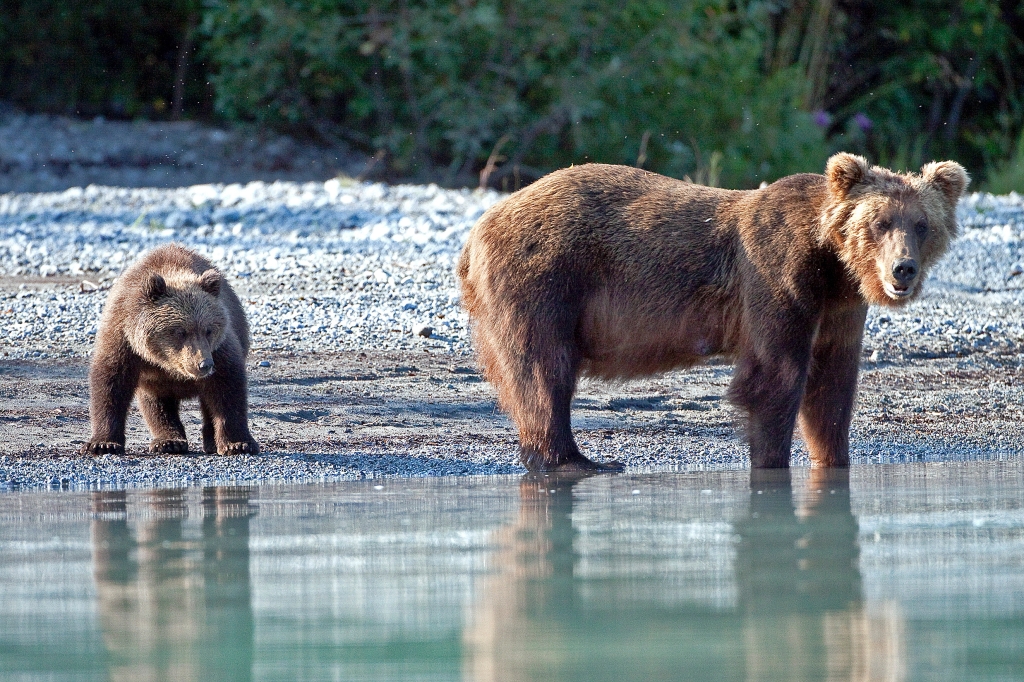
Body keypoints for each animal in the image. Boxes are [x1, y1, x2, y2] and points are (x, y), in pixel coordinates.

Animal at [82, 243, 259, 456]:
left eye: (208, 329)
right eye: (180, 331)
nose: (204, 364)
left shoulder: (220, 348)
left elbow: (228, 388)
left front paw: (239, 443)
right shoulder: (123, 341)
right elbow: (111, 385)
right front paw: (103, 443)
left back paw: (208, 441)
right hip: (153, 380)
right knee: (157, 402)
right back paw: (169, 441)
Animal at [457, 153, 968, 471]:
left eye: (922, 224)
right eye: (880, 222)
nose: (903, 269)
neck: (831, 262)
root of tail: (478, 229)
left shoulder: (840, 308)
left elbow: (832, 386)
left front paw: (833, 459)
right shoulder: (777, 274)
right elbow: (776, 375)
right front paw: (772, 460)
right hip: (545, 276)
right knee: (544, 368)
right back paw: (577, 462)